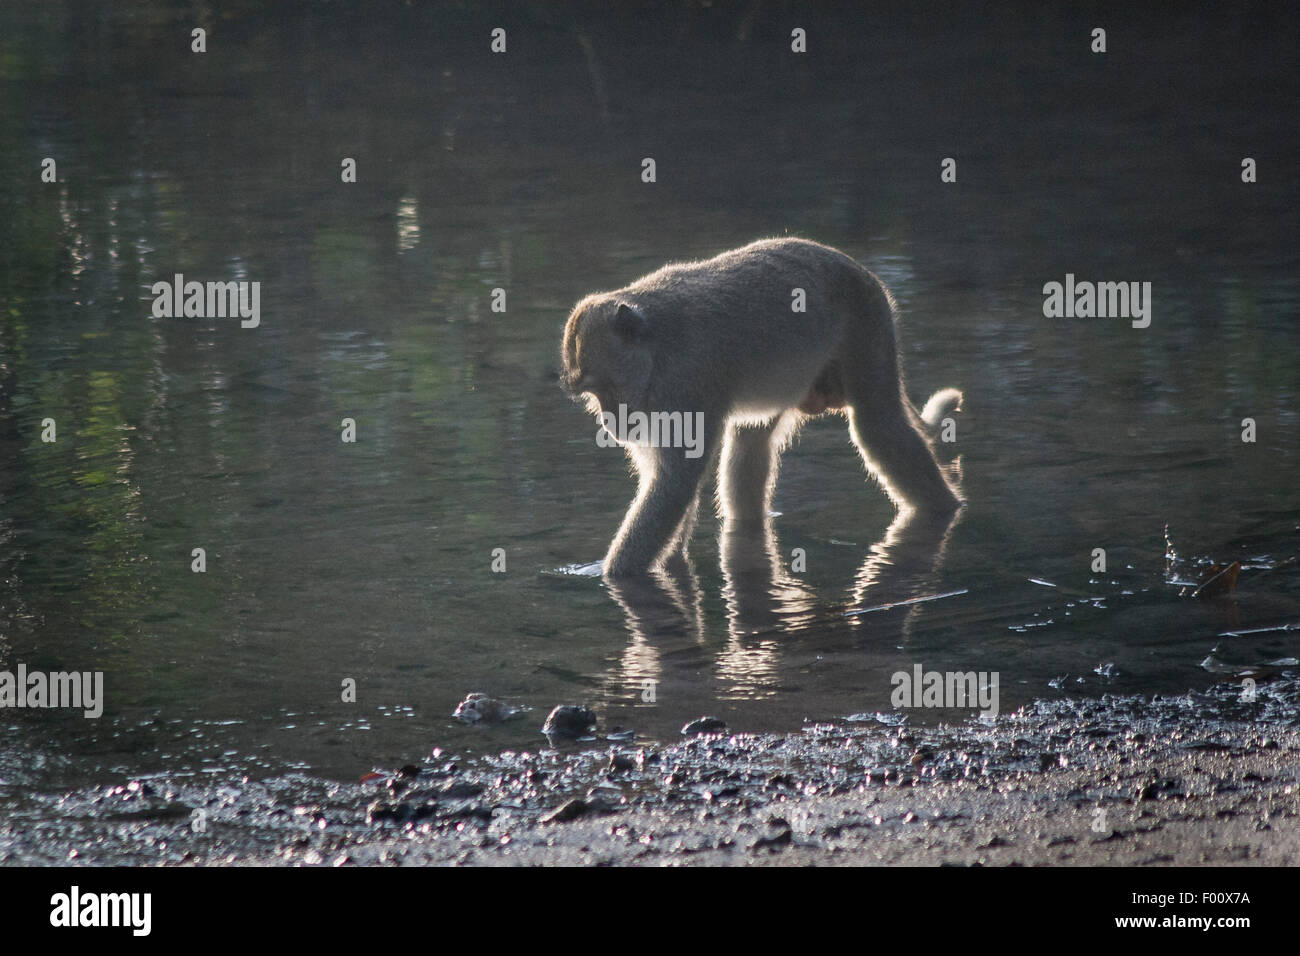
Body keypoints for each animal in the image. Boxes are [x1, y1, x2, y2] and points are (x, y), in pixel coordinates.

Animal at [560, 237, 962, 578]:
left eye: (605, 388)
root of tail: (861, 271)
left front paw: (610, 575)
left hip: (868, 322)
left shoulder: (687, 382)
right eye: (591, 397)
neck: (655, 349)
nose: (610, 423)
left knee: (878, 427)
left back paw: (945, 508)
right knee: (752, 442)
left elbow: (675, 483)